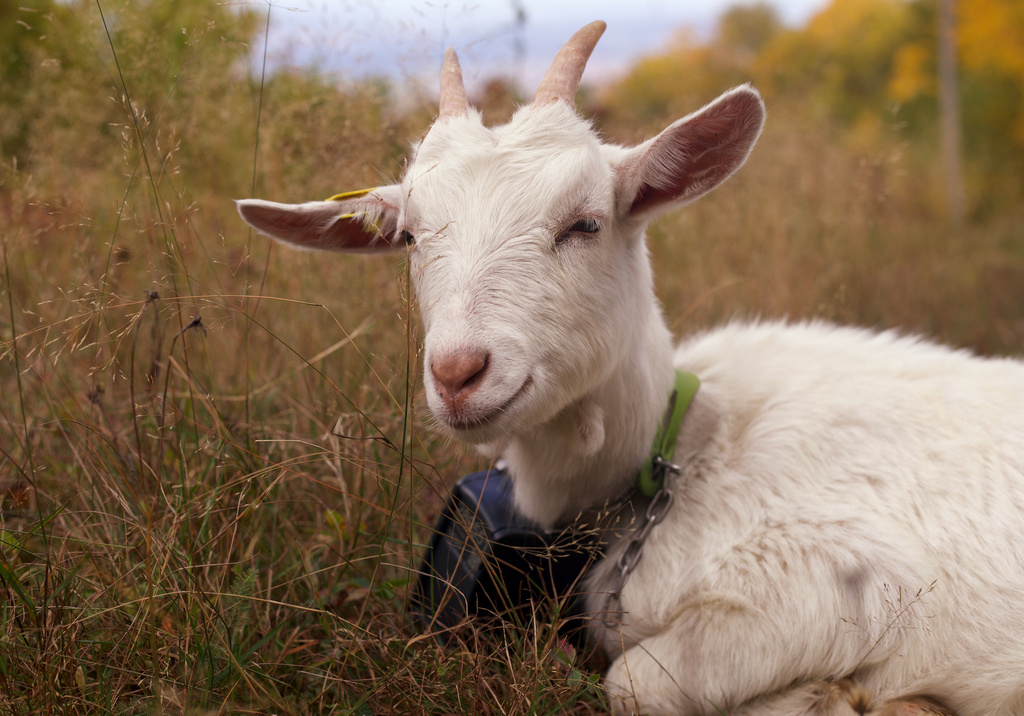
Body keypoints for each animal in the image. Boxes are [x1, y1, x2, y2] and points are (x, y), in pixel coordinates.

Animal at [237, 21, 1024, 716]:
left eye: (585, 222)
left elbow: (631, 682)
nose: (459, 372)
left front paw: (847, 698)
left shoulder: (849, 581)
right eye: (406, 237)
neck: (678, 456)